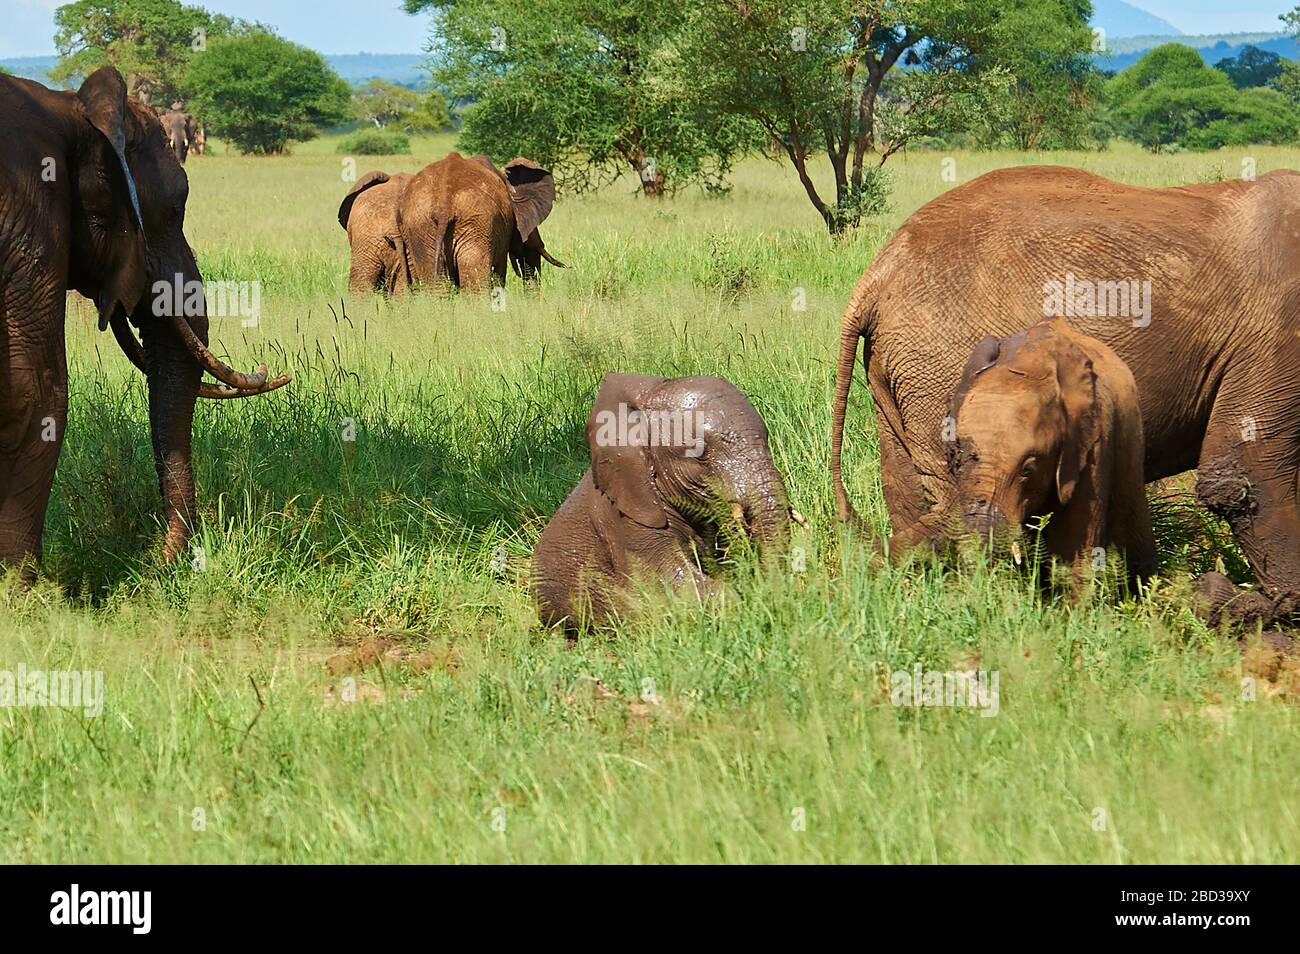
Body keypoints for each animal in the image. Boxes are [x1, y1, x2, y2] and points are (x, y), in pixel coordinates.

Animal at [398, 152, 567, 291]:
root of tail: (445, 200)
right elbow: (499, 274)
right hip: (476, 223)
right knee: (475, 285)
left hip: (422, 225)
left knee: (436, 286)